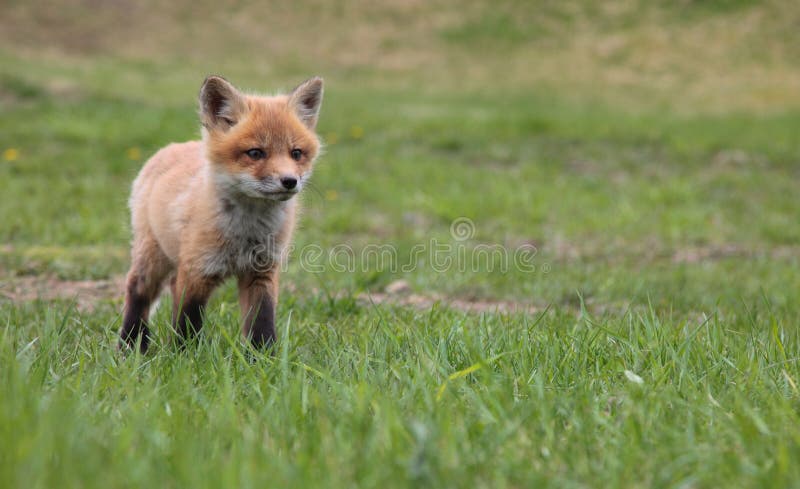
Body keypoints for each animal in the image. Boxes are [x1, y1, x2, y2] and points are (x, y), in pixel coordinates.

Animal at [119, 75, 324, 353]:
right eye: (256, 153)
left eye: (296, 153)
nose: (290, 181)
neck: (247, 231)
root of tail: (171, 147)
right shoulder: (197, 269)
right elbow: (188, 321)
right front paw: (185, 356)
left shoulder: (262, 273)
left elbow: (262, 322)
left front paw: (263, 358)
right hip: (153, 255)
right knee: (137, 289)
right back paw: (131, 343)